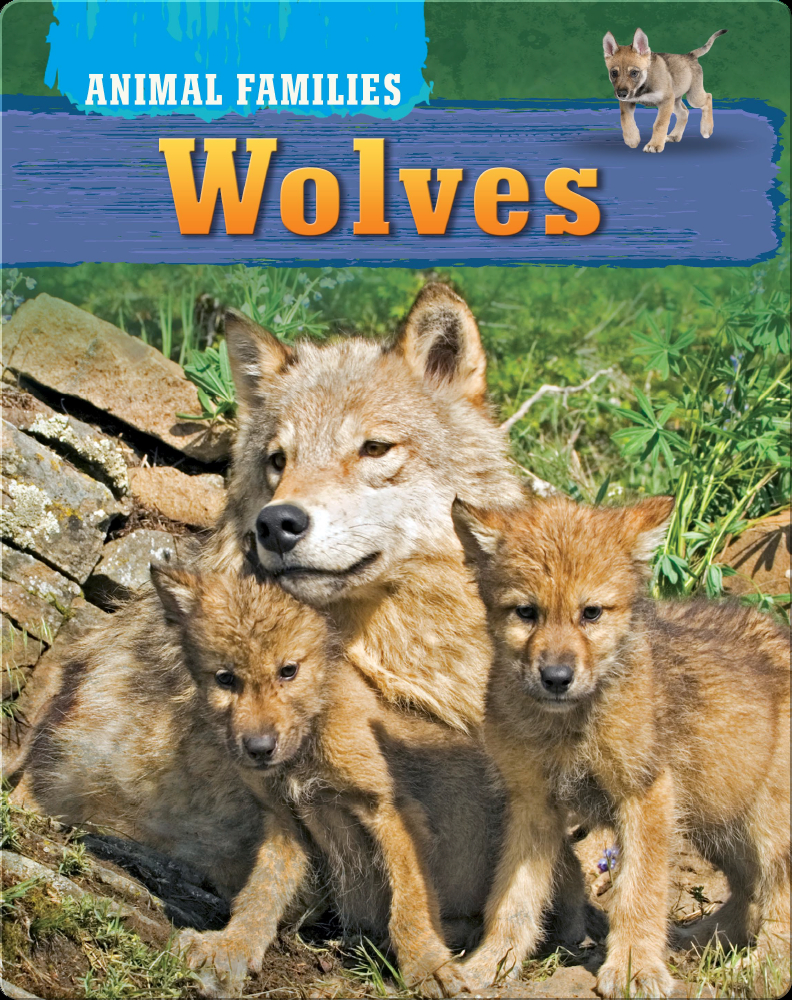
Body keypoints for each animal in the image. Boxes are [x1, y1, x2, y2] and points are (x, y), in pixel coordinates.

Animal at [452, 495, 791, 998]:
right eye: (526, 612)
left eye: (591, 612)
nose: (556, 678)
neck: (570, 726)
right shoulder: (533, 803)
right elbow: (512, 898)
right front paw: (491, 962)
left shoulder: (645, 795)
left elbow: (639, 893)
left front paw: (634, 968)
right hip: (719, 820)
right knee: (748, 895)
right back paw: (695, 942)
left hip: (765, 827)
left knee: (776, 896)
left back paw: (761, 969)